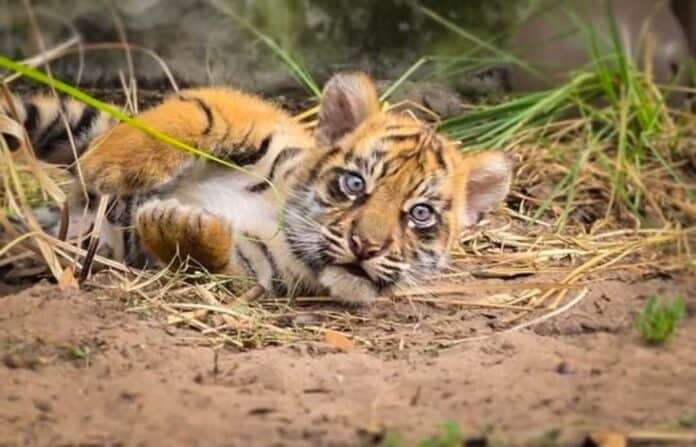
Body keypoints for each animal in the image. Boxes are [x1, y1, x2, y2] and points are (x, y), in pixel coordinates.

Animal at [1, 72, 512, 303]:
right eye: (354, 183)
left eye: (420, 214)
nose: (366, 247)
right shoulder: (244, 114)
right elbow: (187, 119)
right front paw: (106, 167)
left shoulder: (256, 264)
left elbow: (210, 252)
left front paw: (172, 223)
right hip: (60, 119)